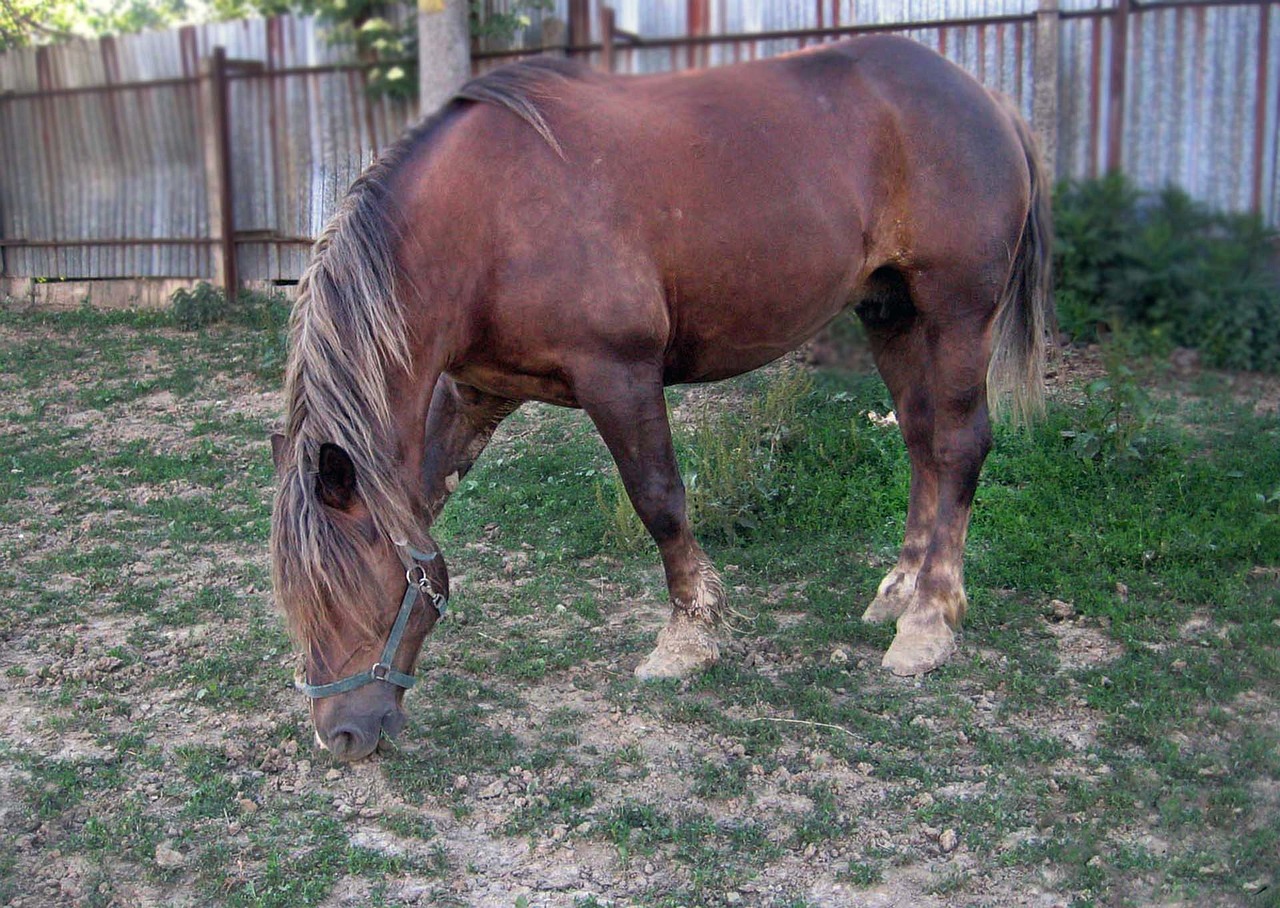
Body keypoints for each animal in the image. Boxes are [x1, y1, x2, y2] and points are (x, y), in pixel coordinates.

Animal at [269, 34, 1053, 761]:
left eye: (350, 592)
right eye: (297, 601)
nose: (341, 736)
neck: (484, 221)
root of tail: (986, 98)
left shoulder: (619, 374)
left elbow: (659, 500)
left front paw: (688, 637)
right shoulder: (476, 393)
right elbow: (427, 499)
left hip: (957, 313)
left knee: (958, 445)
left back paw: (929, 622)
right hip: (889, 311)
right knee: (921, 441)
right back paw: (897, 592)